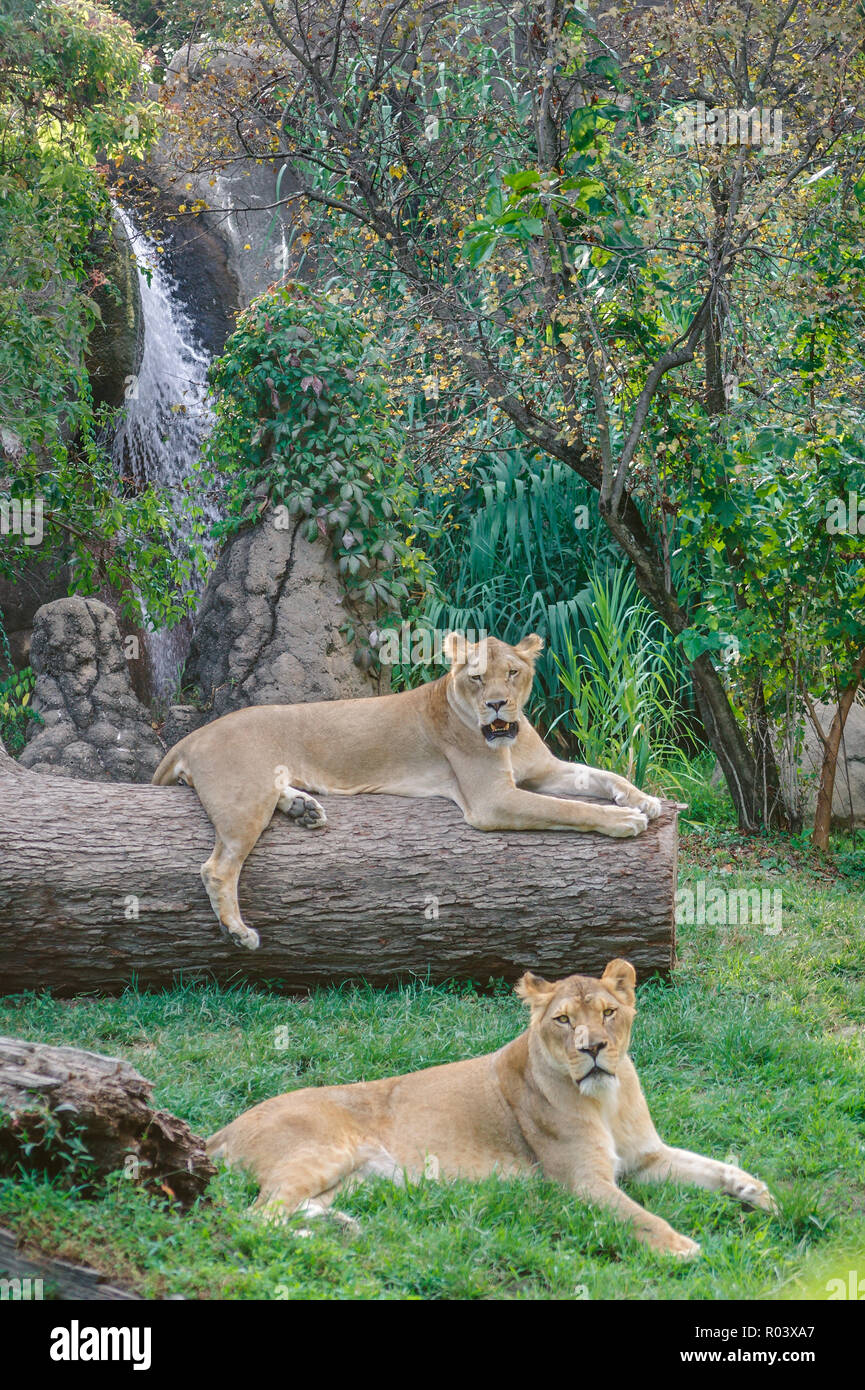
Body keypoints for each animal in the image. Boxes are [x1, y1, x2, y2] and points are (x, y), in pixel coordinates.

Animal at [152, 632, 662, 949]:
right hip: (244, 800)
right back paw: (239, 932)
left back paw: (304, 809)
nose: (497, 703)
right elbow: (569, 809)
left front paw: (644, 799)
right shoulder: (492, 801)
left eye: (513, 673)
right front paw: (624, 820)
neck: (507, 738)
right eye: (477, 677)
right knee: (217, 868)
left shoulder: (546, 769)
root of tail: (191, 737)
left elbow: (603, 776)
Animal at [206, 959, 776, 1258]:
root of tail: (222, 1130)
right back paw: (320, 1240)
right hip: (322, 1153)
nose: (593, 1048)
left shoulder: (646, 1160)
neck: (606, 1098)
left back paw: (343, 1227)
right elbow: (639, 1216)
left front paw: (758, 1192)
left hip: (357, 1177)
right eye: (564, 1021)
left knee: (289, 1208)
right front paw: (683, 1247)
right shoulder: (583, 1182)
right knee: (255, 1218)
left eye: (609, 1012)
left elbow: (709, 1165)